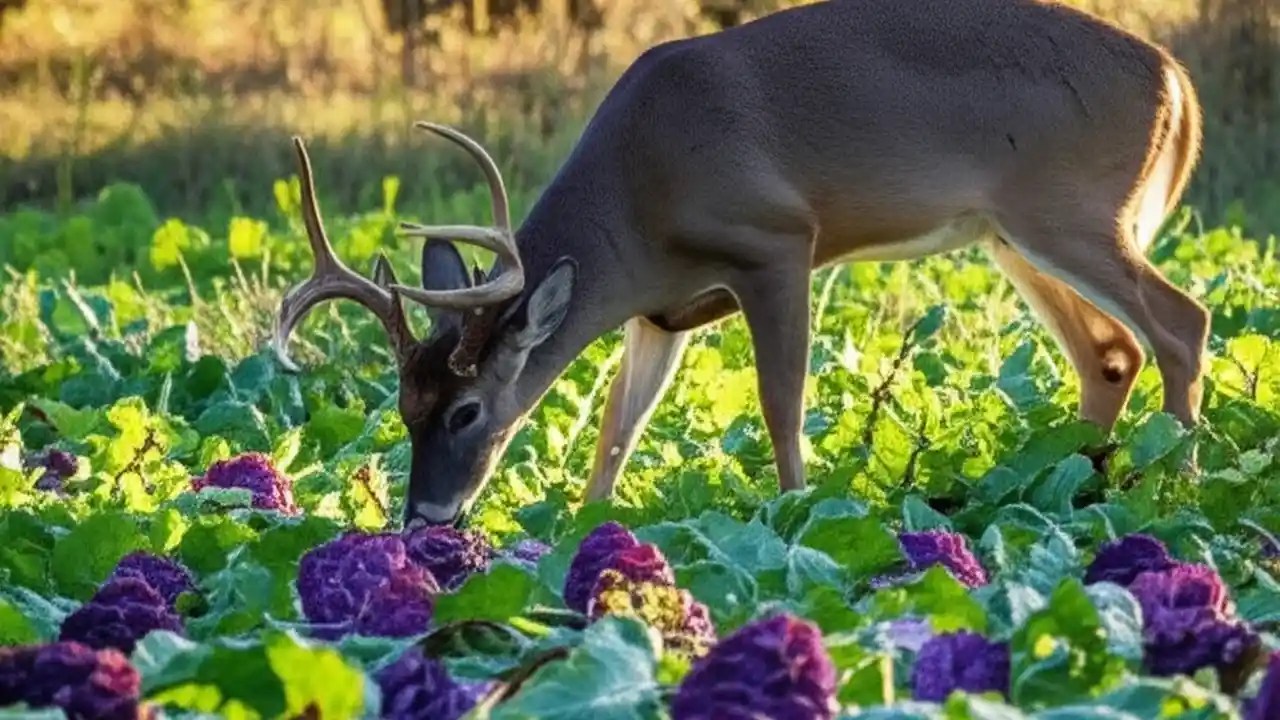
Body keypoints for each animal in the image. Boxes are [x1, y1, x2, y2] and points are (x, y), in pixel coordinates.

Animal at [273, 0, 1207, 528]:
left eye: (466, 411)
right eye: (404, 408)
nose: (424, 520)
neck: (641, 192)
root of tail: (1177, 79)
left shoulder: (777, 243)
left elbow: (781, 400)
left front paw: (795, 513)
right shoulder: (658, 311)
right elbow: (617, 427)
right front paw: (582, 531)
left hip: (1072, 211)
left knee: (1181, 322)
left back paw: (1179, 488)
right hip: (1007, 233)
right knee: (1110, 351)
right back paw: (1072, 488)